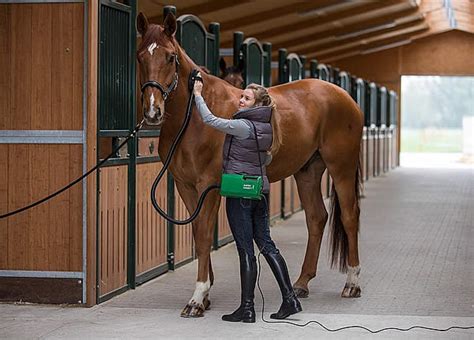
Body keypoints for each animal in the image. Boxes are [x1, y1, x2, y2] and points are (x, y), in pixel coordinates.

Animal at [135, 11, 364, 318]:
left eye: (171, 57)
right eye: (140, 57)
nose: (153, 111)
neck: (194, 119)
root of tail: (346, 98)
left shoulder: (208, 185)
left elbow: (204, 233)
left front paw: (197, 298)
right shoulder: (185, 186)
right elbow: (197, 233)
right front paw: (206, 294)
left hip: (341, 167)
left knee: (350, 217)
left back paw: (352, 283)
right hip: (307, 171)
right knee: (316, 218)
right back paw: (301, 284)